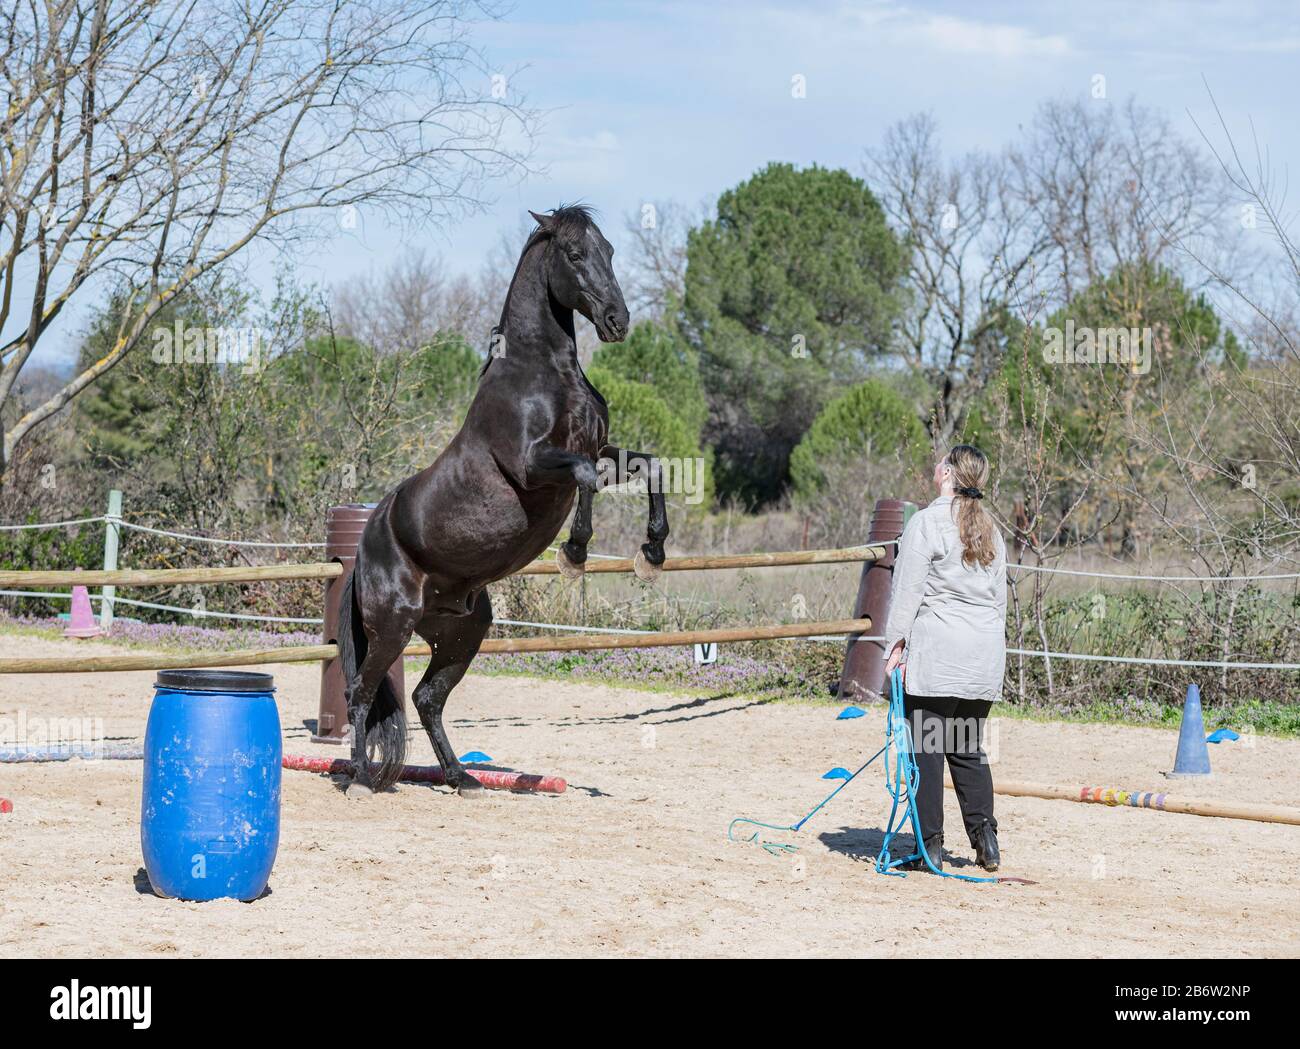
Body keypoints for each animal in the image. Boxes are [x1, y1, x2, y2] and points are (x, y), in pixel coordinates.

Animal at [338, 205, 670, 797]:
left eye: (610, 250)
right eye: (575, 254)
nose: (618, 321)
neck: (540, 372)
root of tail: (364, 548)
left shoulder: (599, 450)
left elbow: (651, 465)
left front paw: (651, 555)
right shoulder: (536, 466)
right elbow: (585, 478)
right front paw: (574, 553)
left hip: (461, 630)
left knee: (426, 698)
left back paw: (462, 778)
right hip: (393, 627)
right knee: (361, 693)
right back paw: (360, 779)